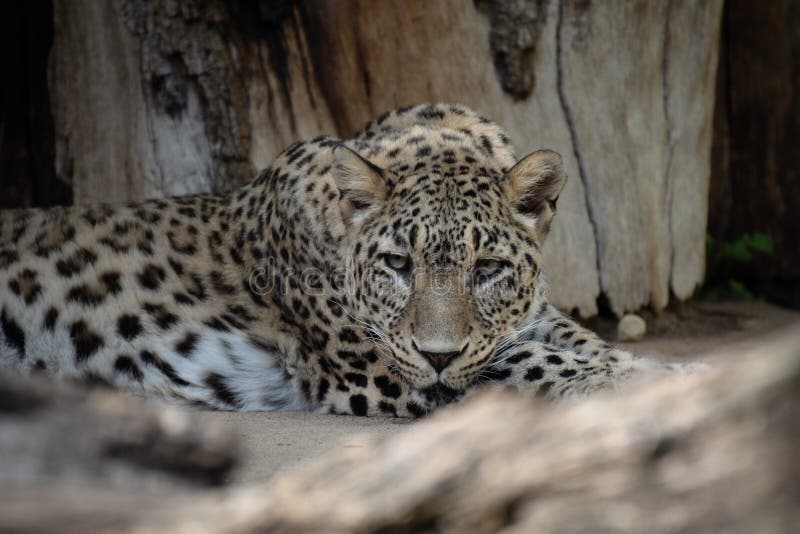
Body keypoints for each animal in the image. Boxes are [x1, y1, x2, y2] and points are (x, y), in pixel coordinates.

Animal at [0, 103, 681, 417]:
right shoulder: (377, 367)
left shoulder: (532, 318)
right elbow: (527, 362)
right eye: (397, 264)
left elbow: (579, 342)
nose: (437, 356)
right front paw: (633, 383)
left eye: (487, 270)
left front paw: (661, 370)